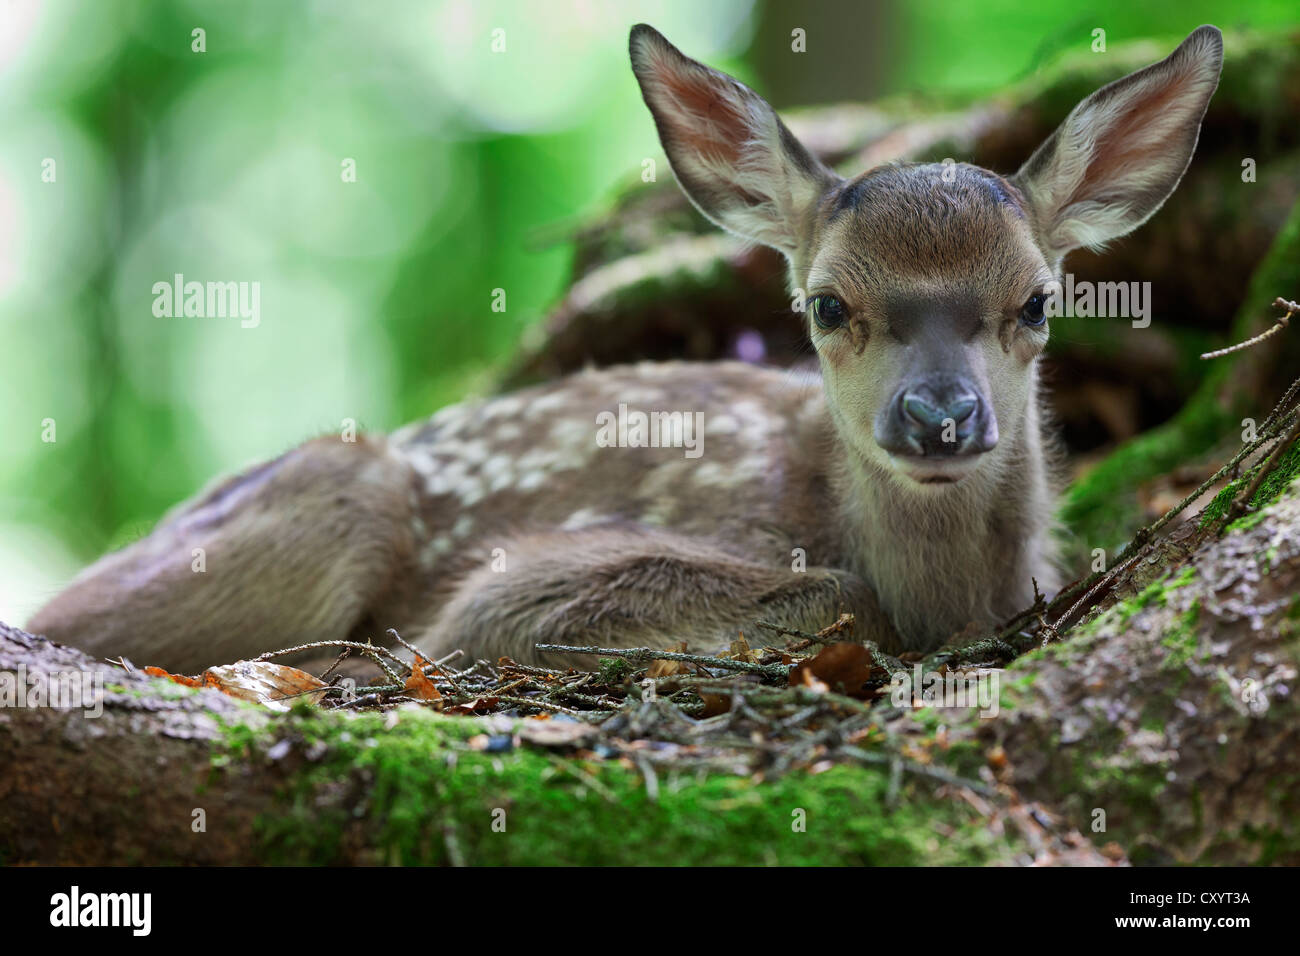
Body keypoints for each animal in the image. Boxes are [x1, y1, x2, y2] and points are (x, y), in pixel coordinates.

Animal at [28, 24, 1223, 674]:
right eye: (827, 305)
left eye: (1036, 301)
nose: (939, 416)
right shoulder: (525, 582)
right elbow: (842, 595)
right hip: (333, 495)